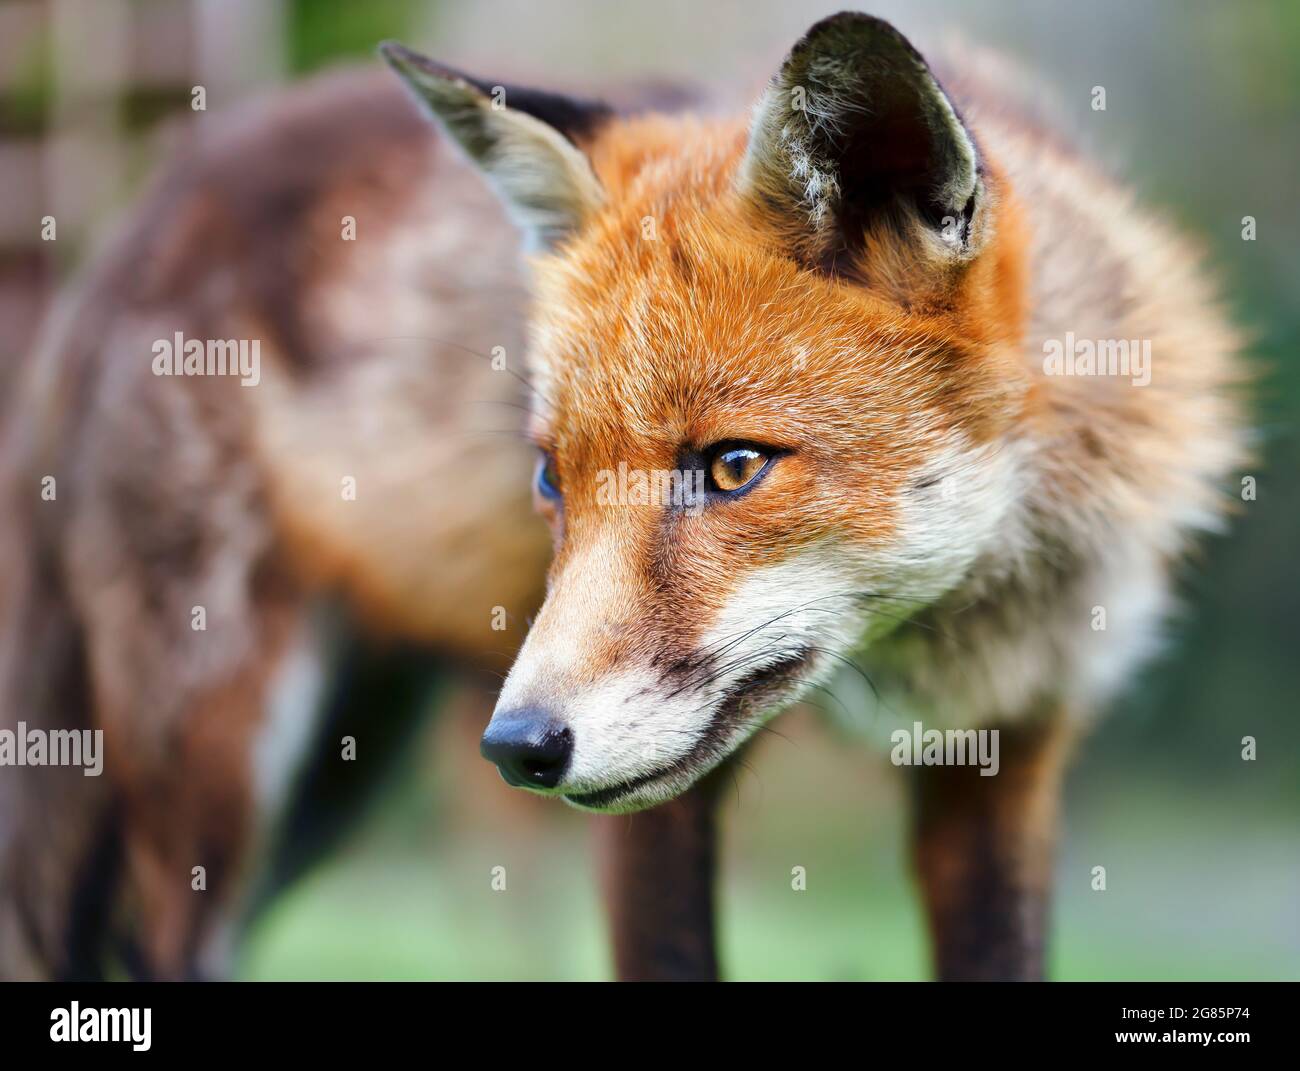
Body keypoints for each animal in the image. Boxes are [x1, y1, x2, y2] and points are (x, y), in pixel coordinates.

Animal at [0, 10, 1246, 982]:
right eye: (551, 478)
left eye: (734, 467)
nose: (519, 749)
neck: (935, 639)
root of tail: (143, 217)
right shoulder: (660, 811)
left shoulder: (1011, 752)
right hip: (220, 762)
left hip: (340, 773)